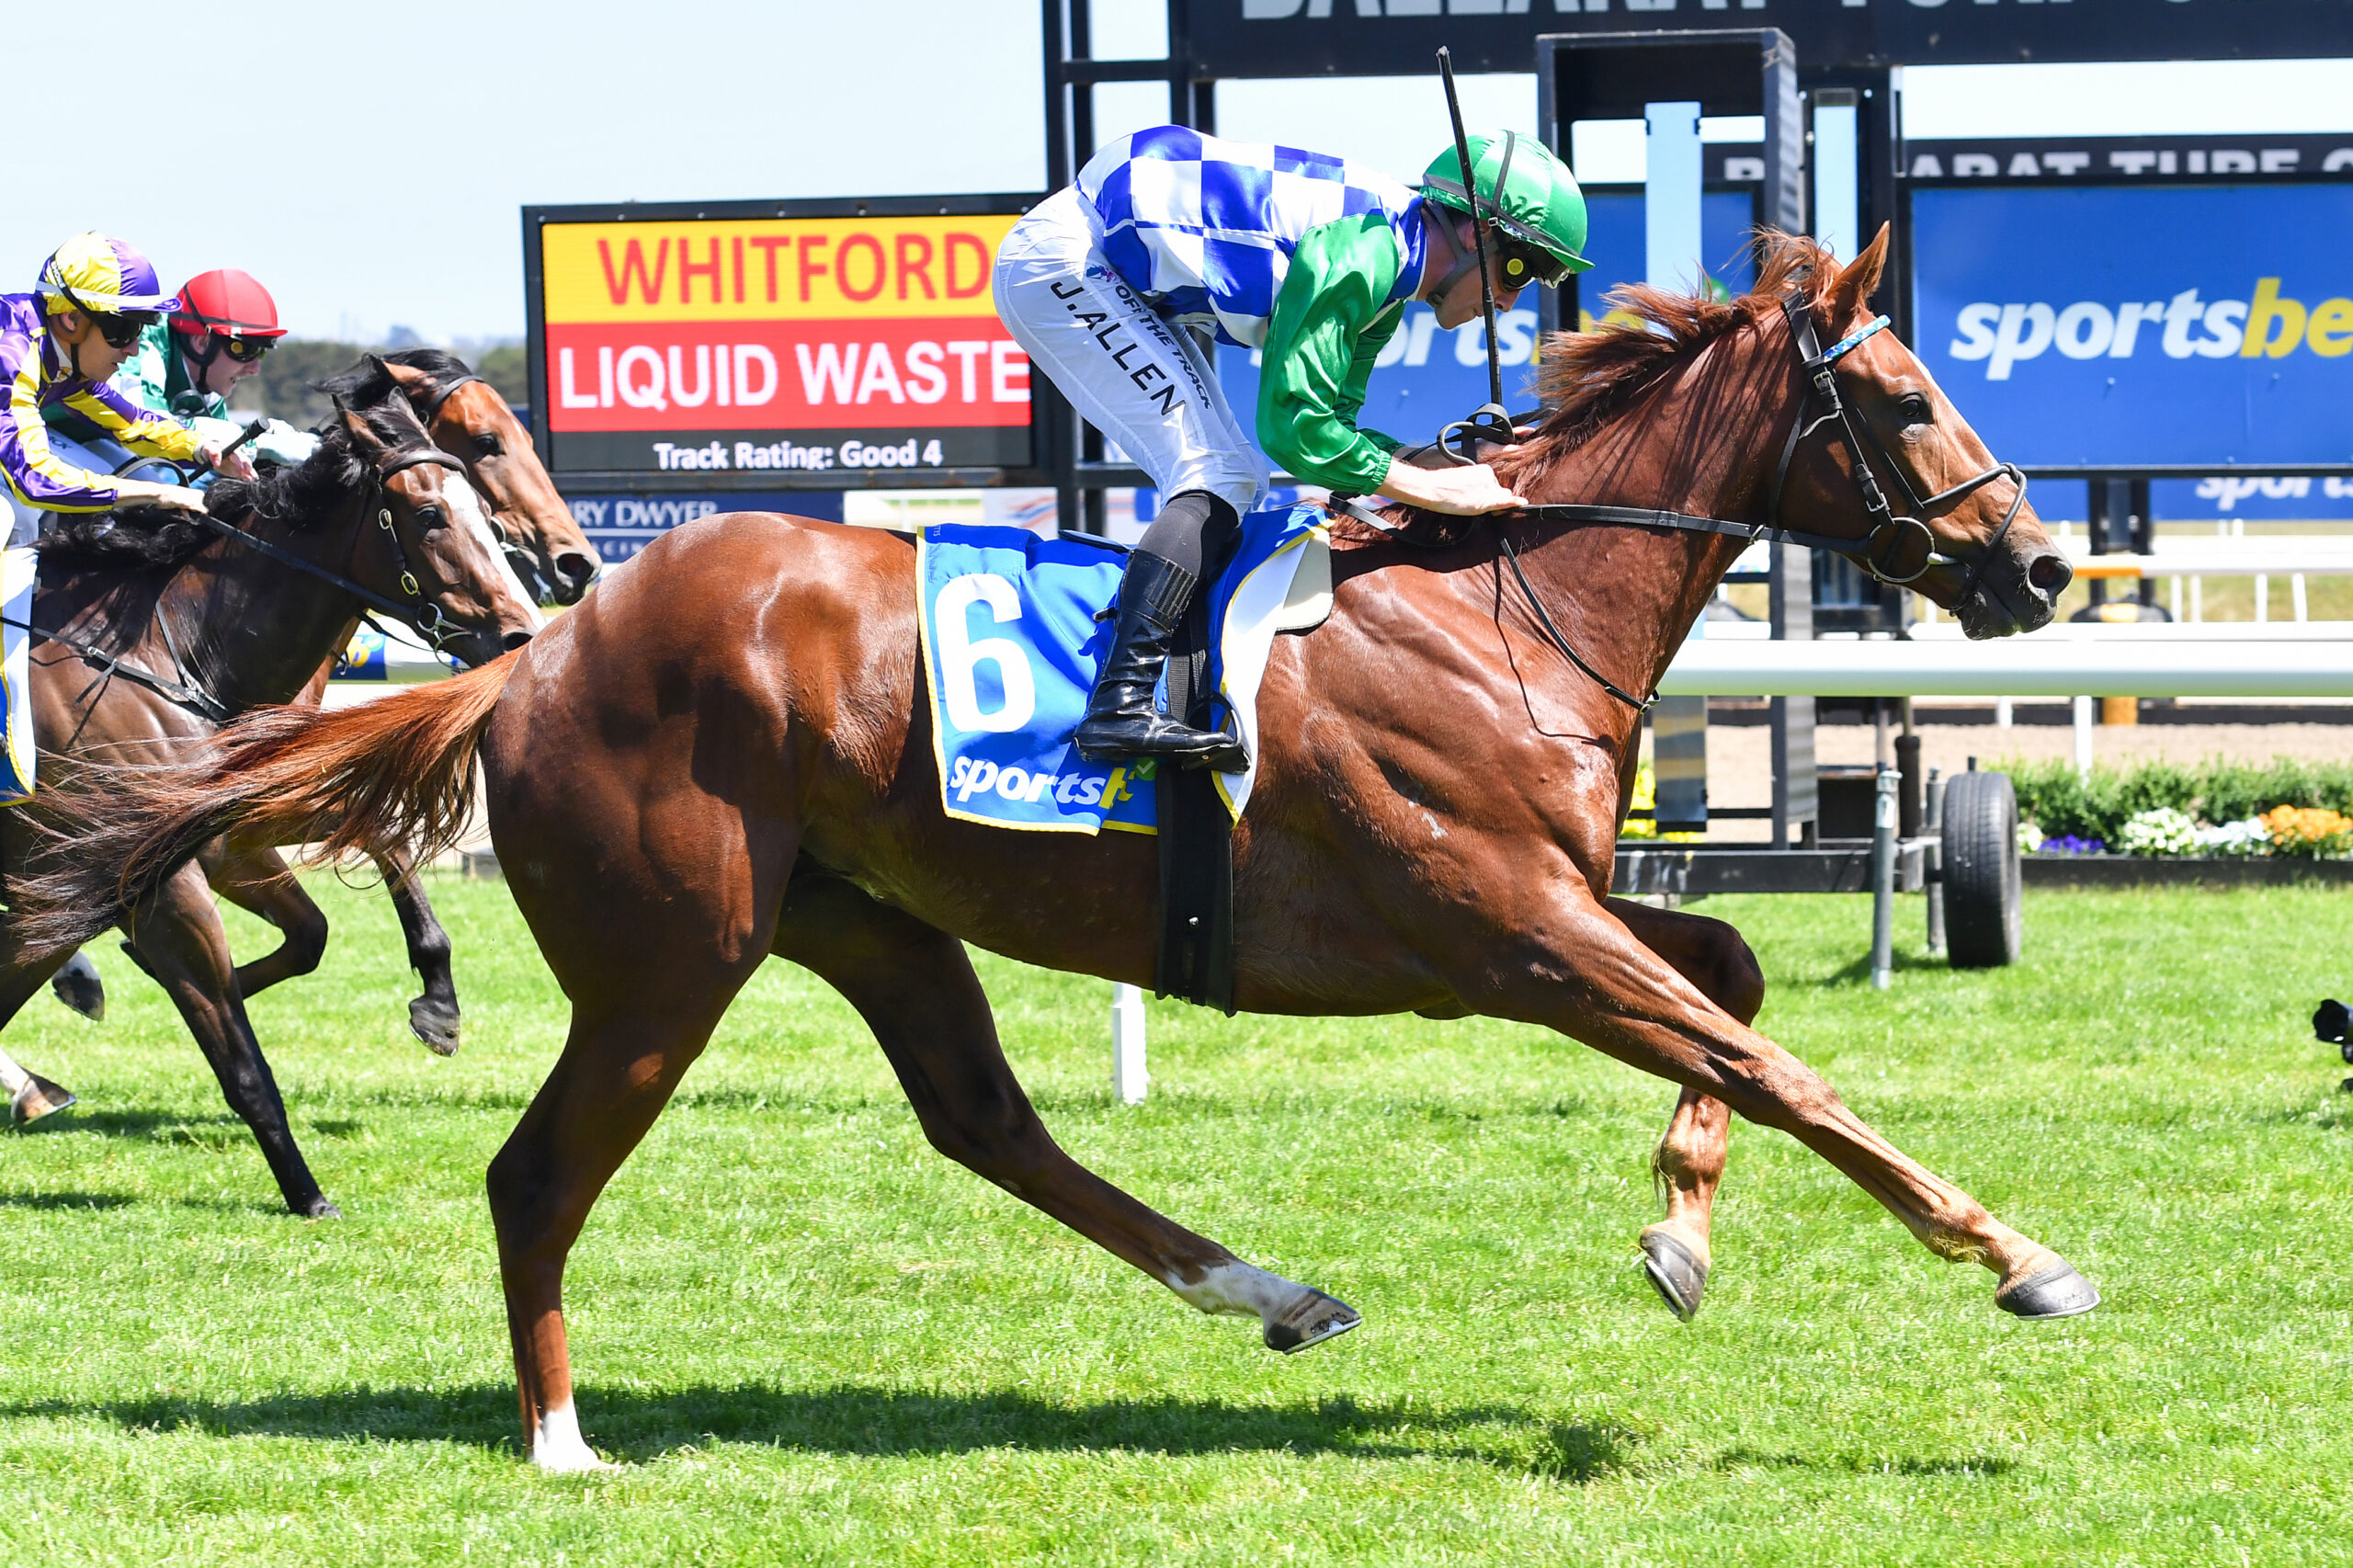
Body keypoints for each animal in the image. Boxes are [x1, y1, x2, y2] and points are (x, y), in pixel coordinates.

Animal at [0, 358, 541, 1216]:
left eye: (480, 510)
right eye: (428, 514)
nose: (524, 632)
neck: (172, 653)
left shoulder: (218, 836)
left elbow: (320, 919)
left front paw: (437, 1004)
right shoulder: (154, 885)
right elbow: (244, 1058)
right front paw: (308, 1194)